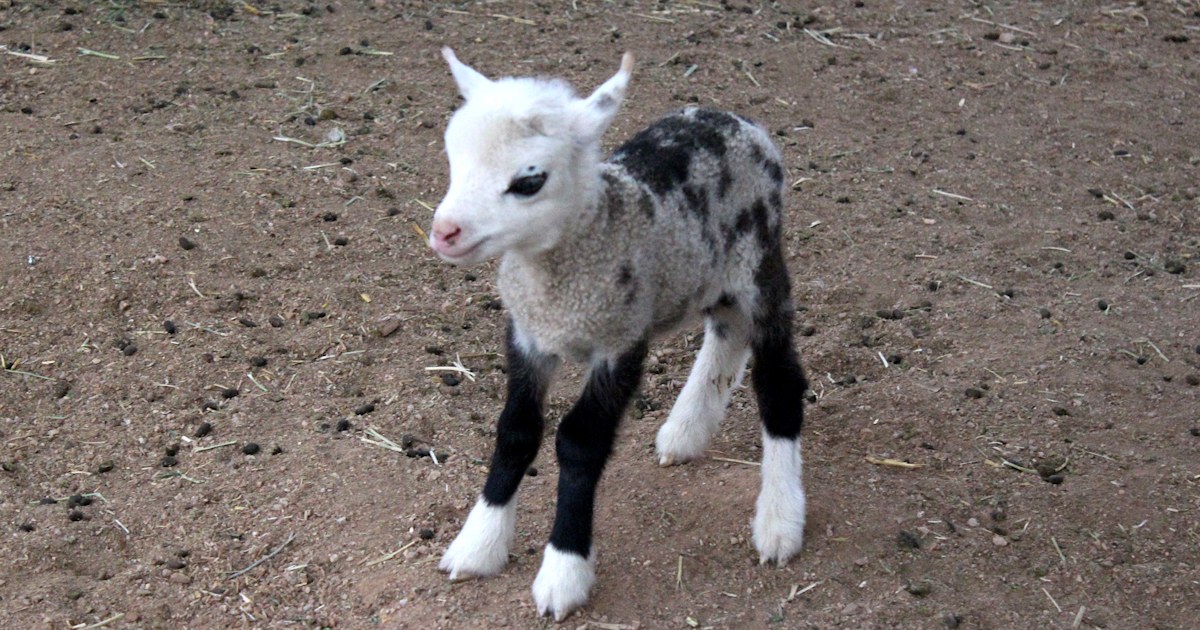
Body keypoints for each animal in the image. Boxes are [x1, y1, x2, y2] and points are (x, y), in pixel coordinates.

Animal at [428, 48, 809, 621]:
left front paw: (563, 570)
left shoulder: (620, 339)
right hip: (706, 272)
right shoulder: (527, 335)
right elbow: (516, 431)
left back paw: (779, 520)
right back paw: (685, 431)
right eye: (454, 158)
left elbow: (579, 443)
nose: (444, 233)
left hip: (760, 259)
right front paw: (479, 544)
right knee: (726, 333)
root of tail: (735, 120)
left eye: (529, 180)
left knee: (779, 380)